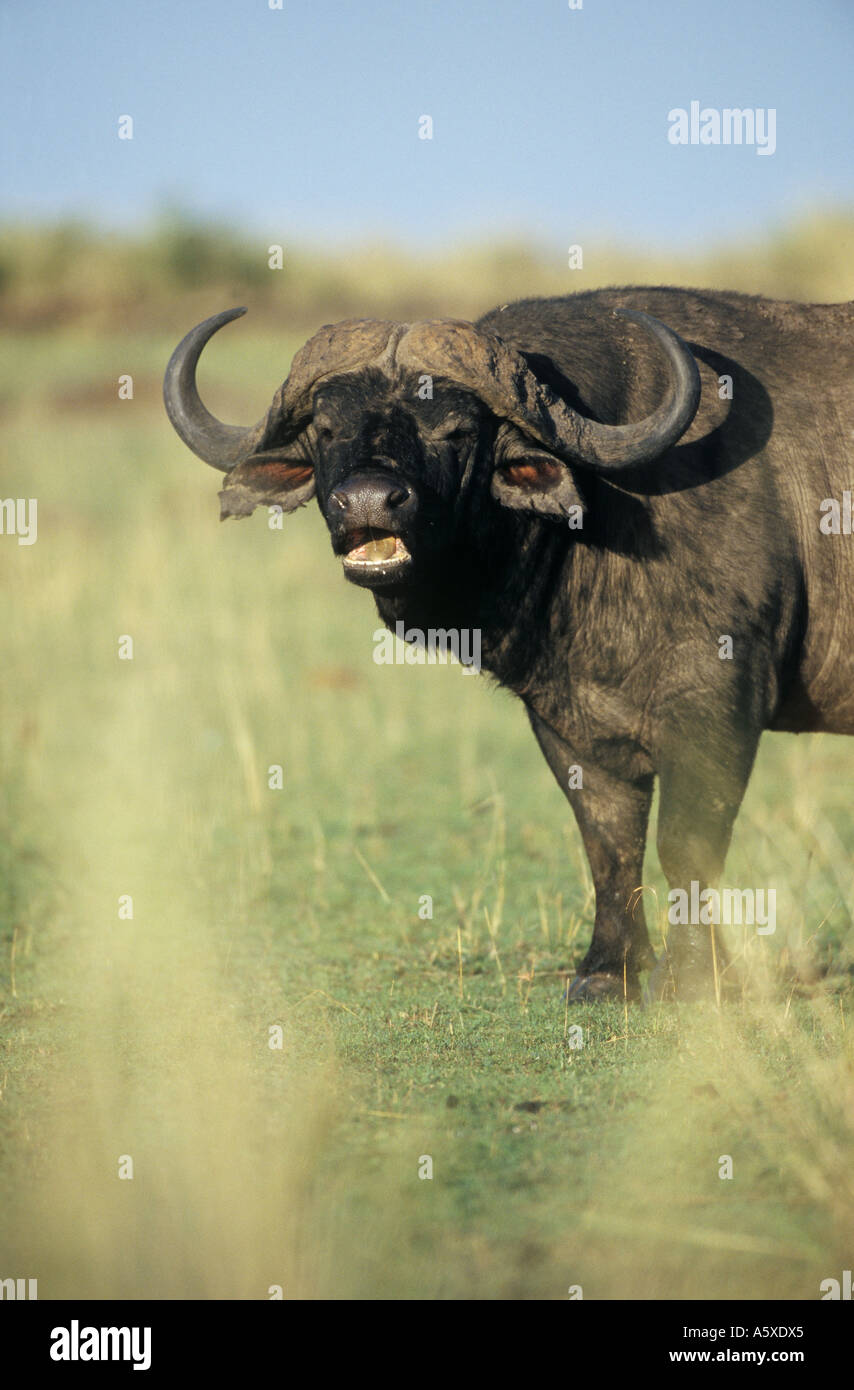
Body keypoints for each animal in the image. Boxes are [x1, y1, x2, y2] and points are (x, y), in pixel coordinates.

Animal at [164, 288, 854, 1000]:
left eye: (457, 431)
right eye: (328, 429)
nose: (369, 501)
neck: (604, 524)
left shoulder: (719, 700)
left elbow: (687, 843)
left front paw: (691, 981)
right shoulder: (564, 720)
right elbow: (608, 837)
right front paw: (607, 972)